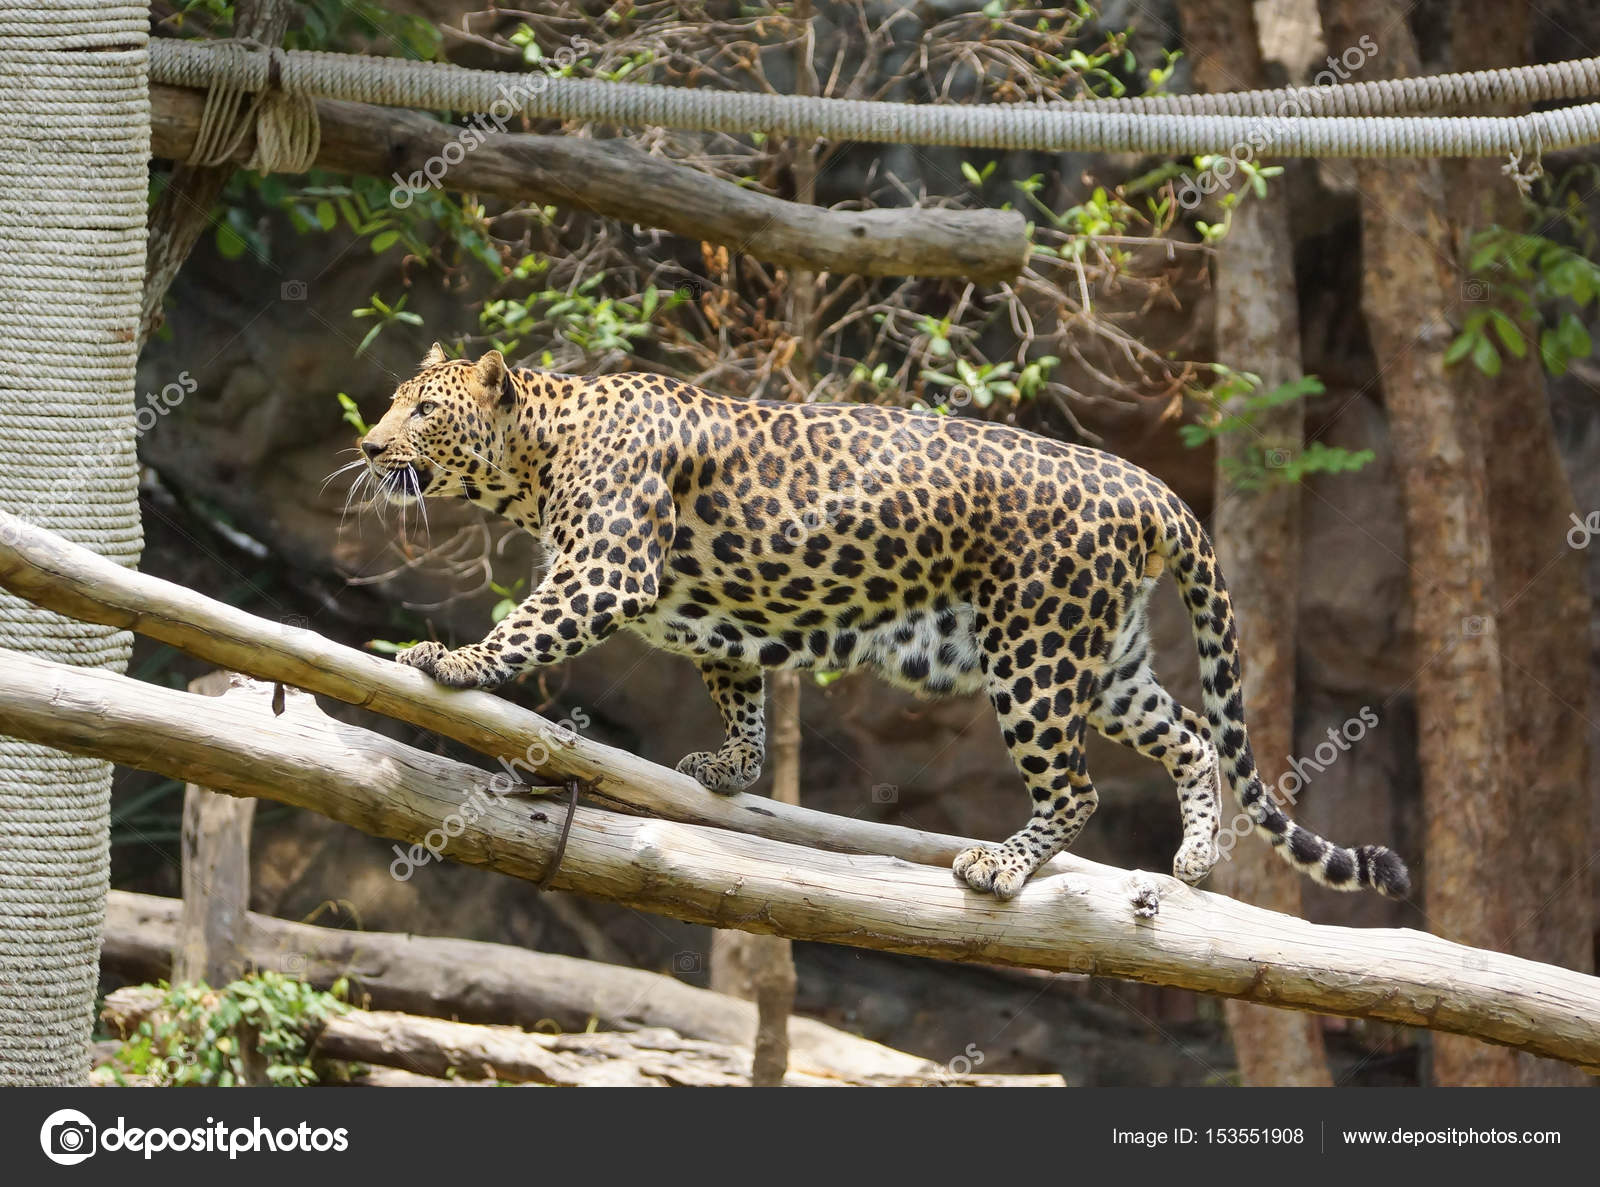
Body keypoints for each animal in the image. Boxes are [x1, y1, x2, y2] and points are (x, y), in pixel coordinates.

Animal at [357, 343, 1410, 902]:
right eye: (392, 403)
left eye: (422, 410)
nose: (366, 445)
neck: (536, 454)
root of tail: (1150, 487)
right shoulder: (708, 618)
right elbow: (742, 695)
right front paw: (730, 767)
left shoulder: (606, 573)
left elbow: (528, 623)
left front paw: (452, 657)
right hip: (1103, 657)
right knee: (1191, 733)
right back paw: (1190, 854)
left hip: (1032, 651)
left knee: (1075, 787)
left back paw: (1000, 865)